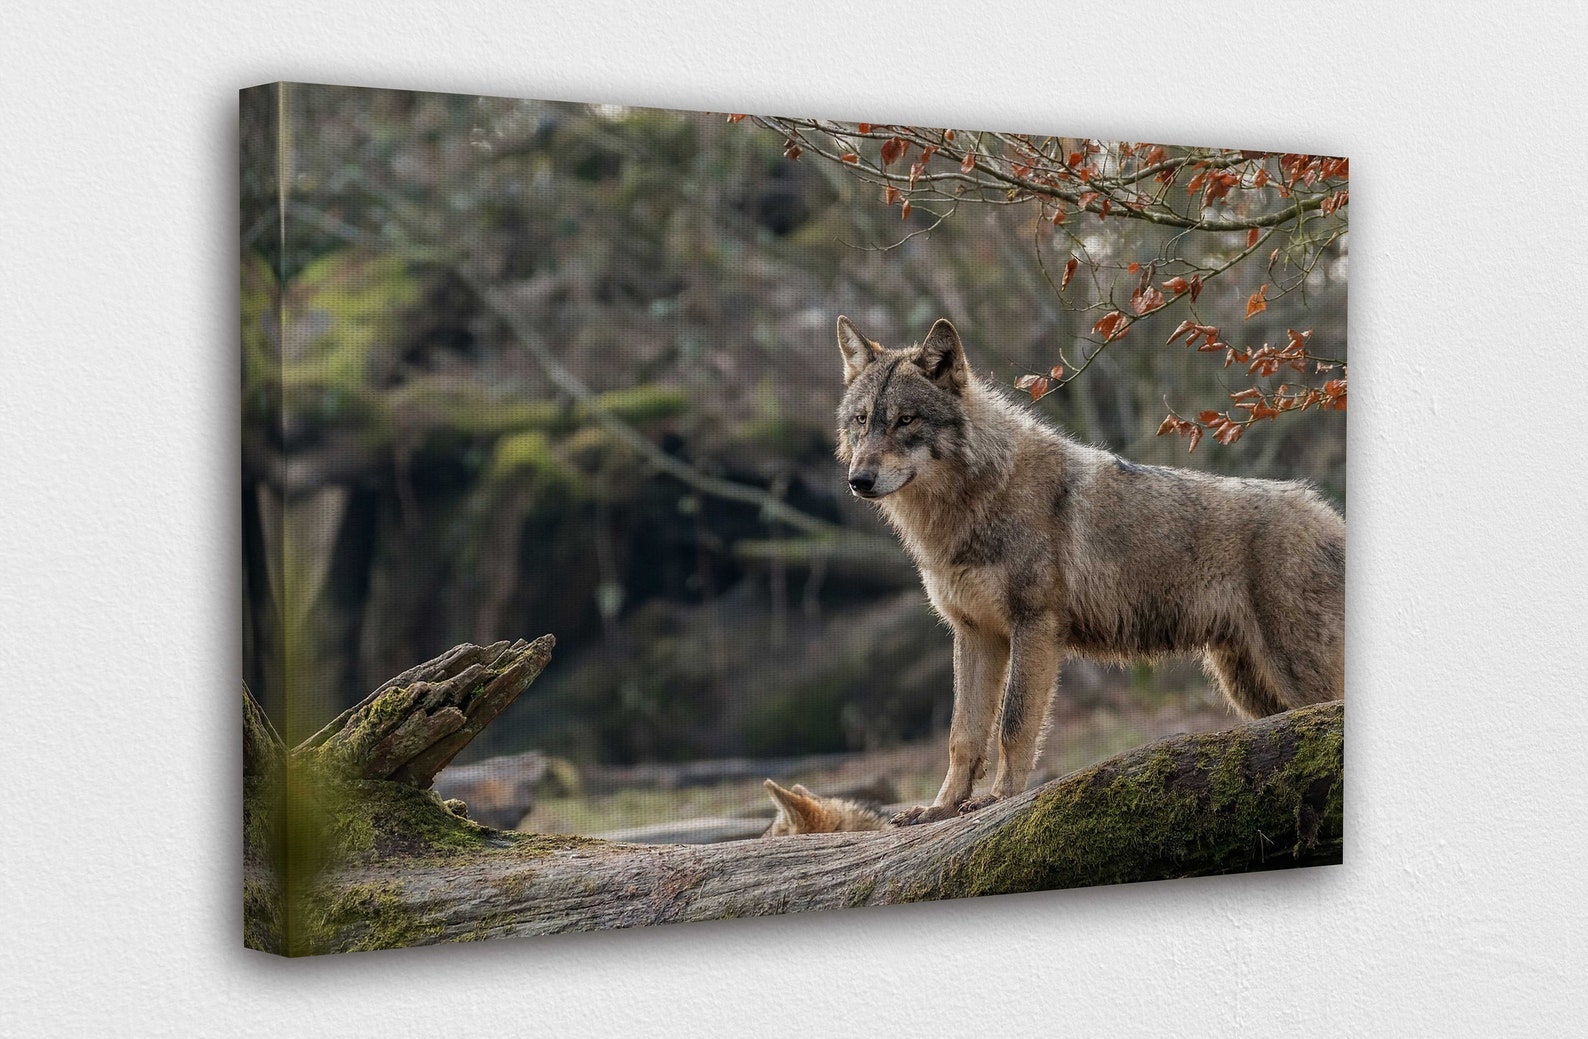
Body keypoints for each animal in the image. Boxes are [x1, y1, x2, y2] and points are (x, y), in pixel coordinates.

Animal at [835, 316, 1346, 825]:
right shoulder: (975, 633)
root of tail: (1330, 516)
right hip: (1249, 689)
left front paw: (998, 799)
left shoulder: (1035, 626)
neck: (972, 501)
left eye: (906, 420)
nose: (858, 481)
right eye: (862, 420)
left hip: (1290, 676)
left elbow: (1013, 724)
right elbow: (963, 735)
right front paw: (941, 808)